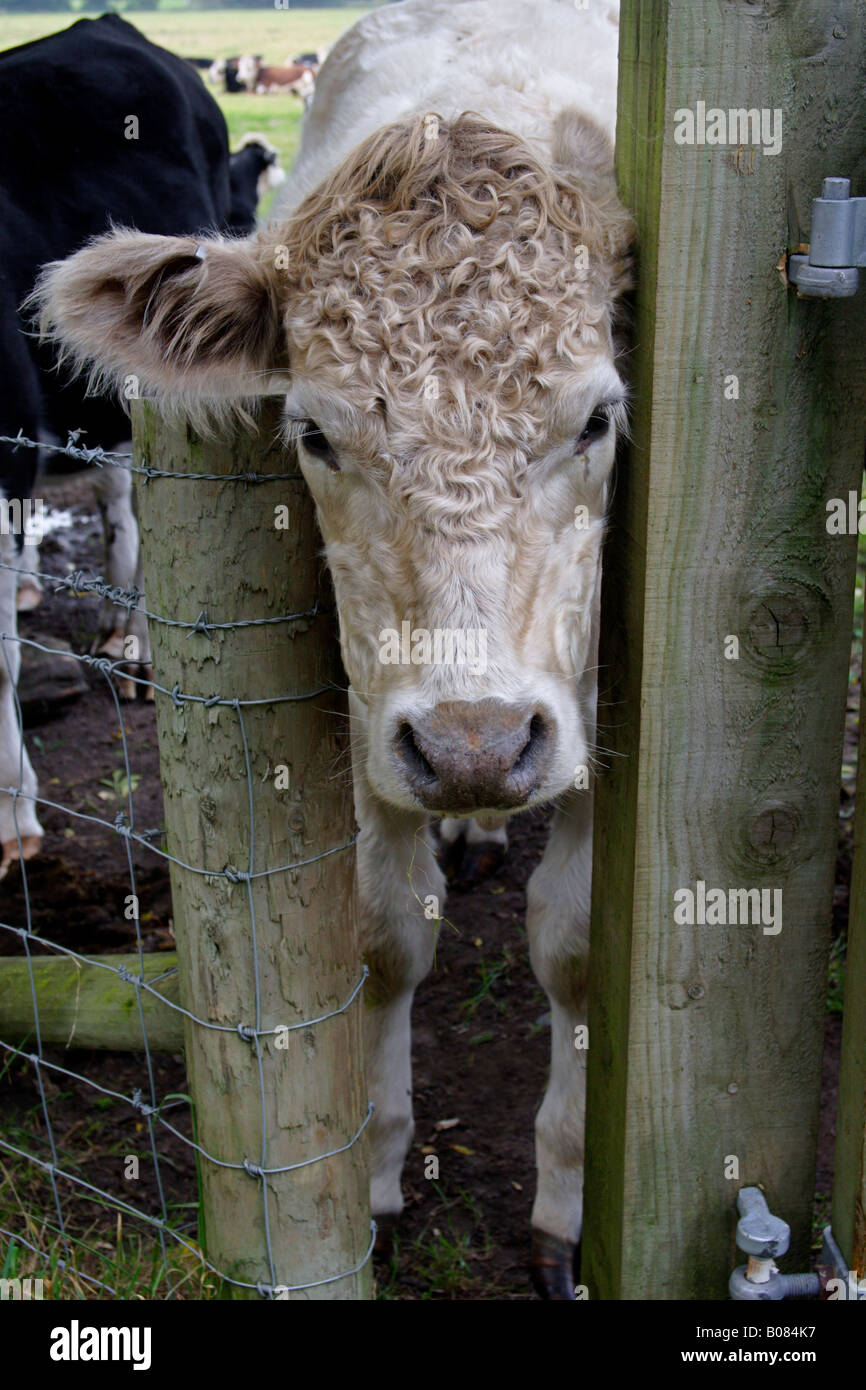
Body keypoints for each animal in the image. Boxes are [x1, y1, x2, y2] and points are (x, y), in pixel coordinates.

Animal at [36, 0, 633, 1298]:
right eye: (315, 431)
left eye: (598, 418)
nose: (472, 746)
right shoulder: (367, 708)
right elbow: (382, 932)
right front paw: (376, 1171)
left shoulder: (587, 705)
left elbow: (571, 944)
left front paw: (566, 1205)